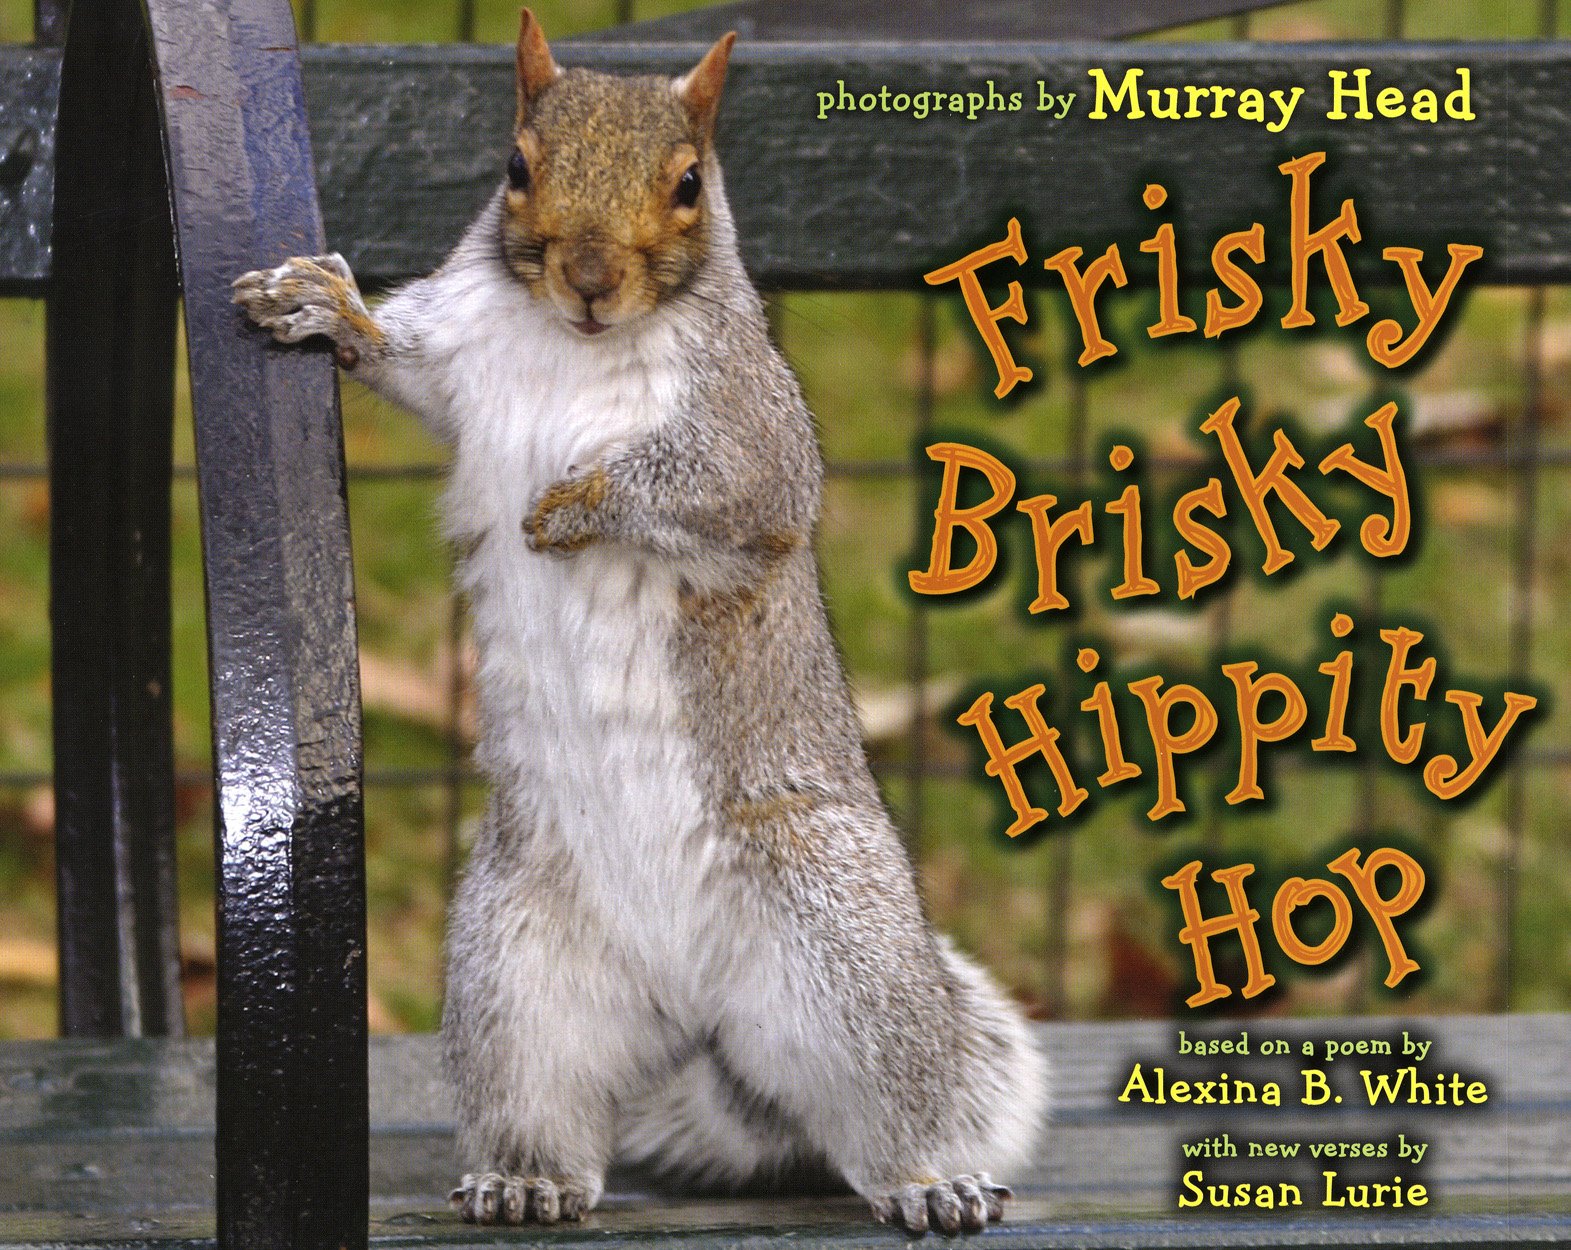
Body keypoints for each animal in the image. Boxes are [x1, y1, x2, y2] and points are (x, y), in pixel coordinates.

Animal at [233, 10, 1046, 1236]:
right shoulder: (454, 355)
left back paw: (928, 1178)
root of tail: (692, 1009)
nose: (588, 279)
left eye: (689, 184)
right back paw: (524, 1179)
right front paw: (329, 310)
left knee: (892, 1103)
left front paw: (582, 504)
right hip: (515, 967)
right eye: (516, 167)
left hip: (843, 945)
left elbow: (720, 494)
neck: (570, 345)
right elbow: (403, 363)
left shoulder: (747, 431)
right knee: (542, 1100)